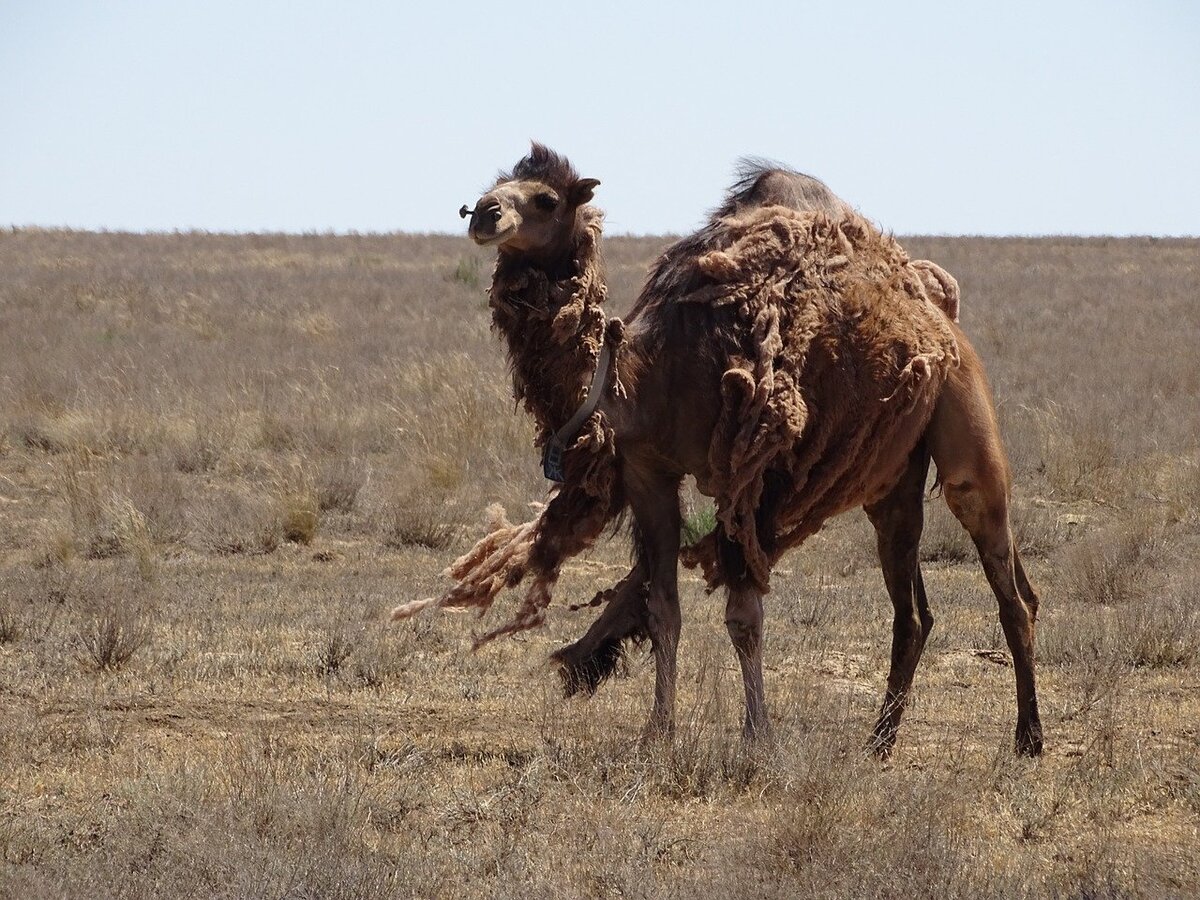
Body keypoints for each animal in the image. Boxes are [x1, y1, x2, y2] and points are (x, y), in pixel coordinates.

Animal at [396, 144, 1041, 758]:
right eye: (496, 184)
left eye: (547, 199)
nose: (484, 213)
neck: (641, 377)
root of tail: (938, 312)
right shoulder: (649, 473)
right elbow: (664, 610)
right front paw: (657, 730)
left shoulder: (753, 479)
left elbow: (744, 617)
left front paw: (758, 736)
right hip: (893, 480)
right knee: (914, 612)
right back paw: (879, 743)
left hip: (966, 432)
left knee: (1011, 590)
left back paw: (1028, 737)